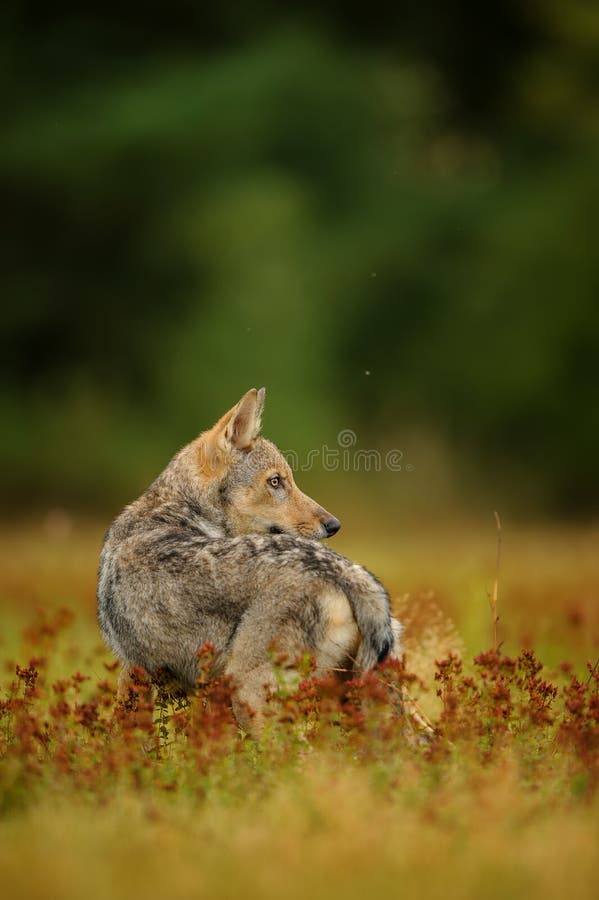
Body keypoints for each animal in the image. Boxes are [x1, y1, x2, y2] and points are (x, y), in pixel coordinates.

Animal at [97, 387, 402, 733]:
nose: (334, 525)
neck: (176, 509)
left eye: (285, 480)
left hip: (250, 698)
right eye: (276, 482)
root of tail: (343, 570)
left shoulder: (134, 669)